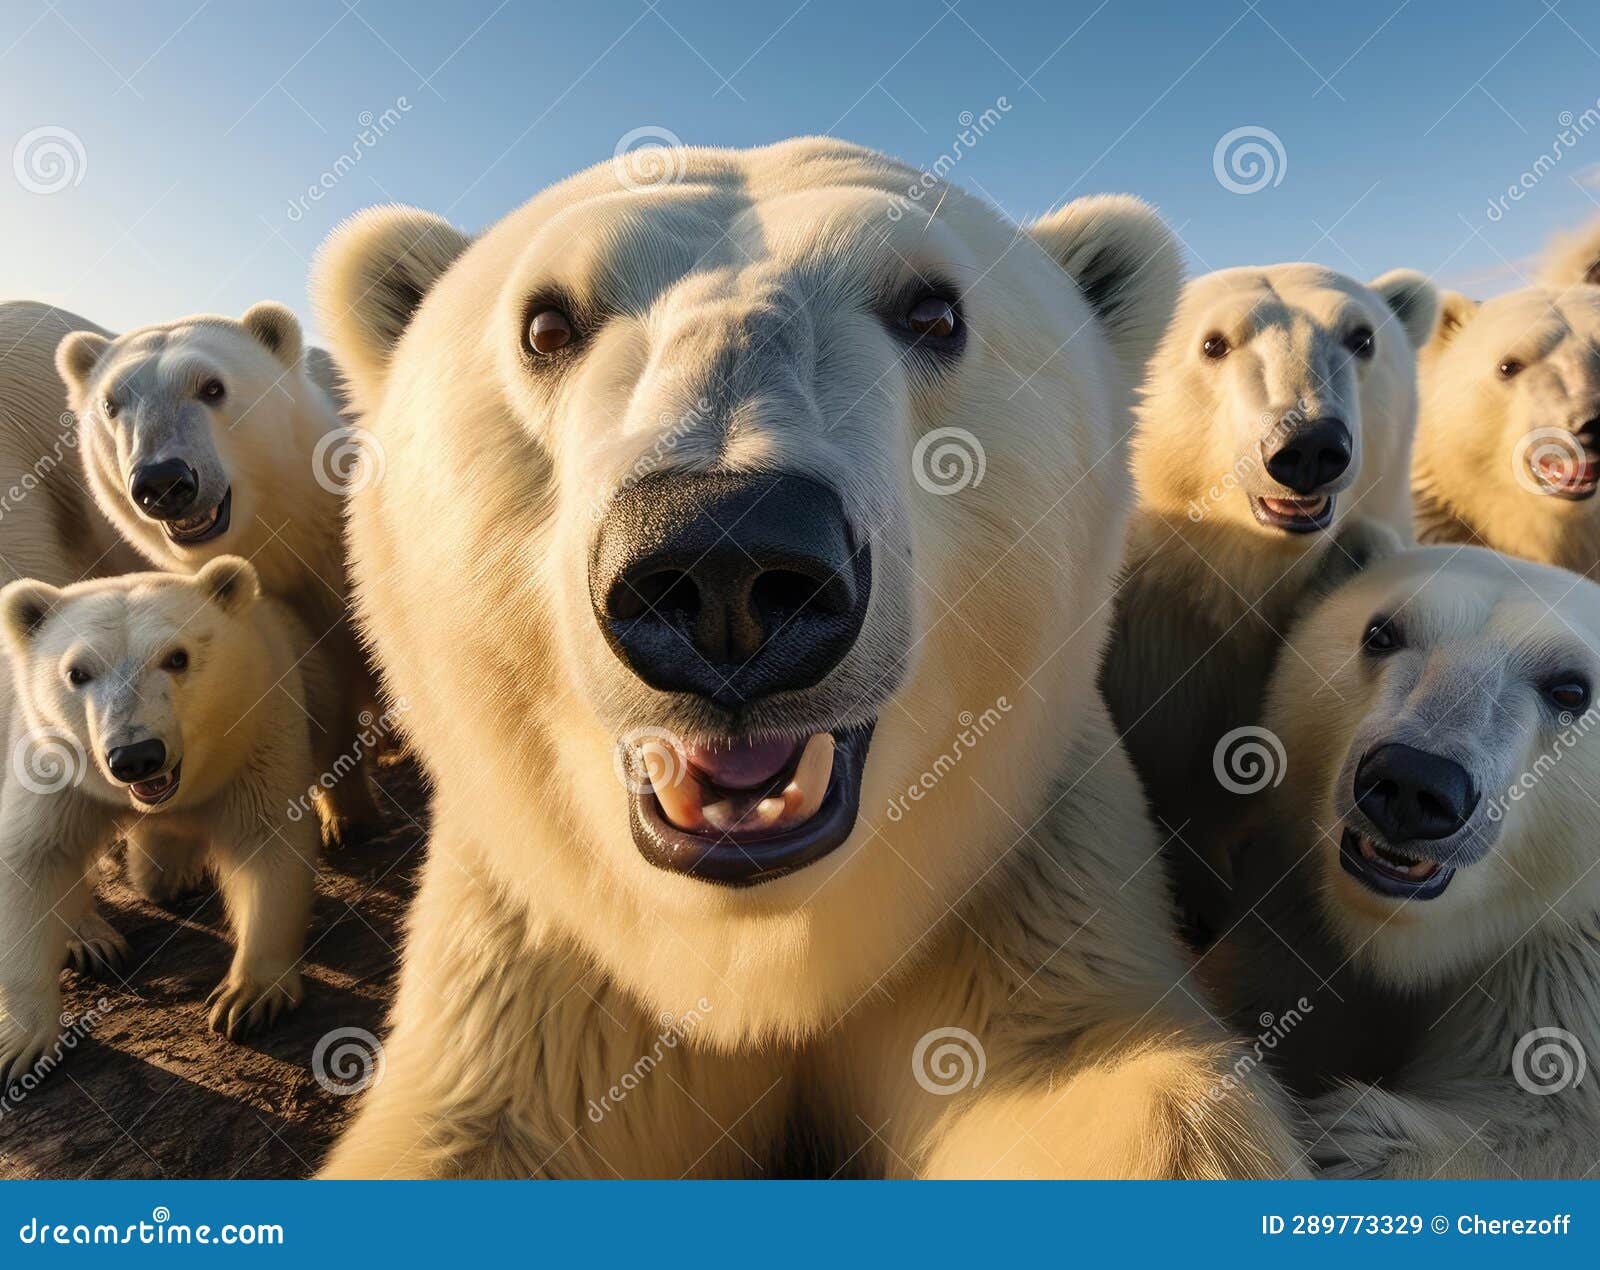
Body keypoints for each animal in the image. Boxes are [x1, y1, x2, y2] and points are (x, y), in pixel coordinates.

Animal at [0, 557, 326, 1086]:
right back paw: (92, 939)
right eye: (77, 672)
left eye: (177, 657)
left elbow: (268, 840)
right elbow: (33, 857)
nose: (136, 756)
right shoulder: (51, 760)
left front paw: (247, 997)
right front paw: (22, 1046)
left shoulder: (258, 727)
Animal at [305, 137, 1307, 1179]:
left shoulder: (1022, 876)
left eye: (935, 311)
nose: (726, 565)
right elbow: (479, 1125)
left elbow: (1098, 1069)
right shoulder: (533, 942)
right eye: (547, 323)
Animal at [1210, 545, 1600, 1179]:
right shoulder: (1293, 910)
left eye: (1570, 690)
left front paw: (1341, 1140)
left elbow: (1548, 1114)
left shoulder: (1560, 956)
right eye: (1381, 634)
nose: (1416, 782)